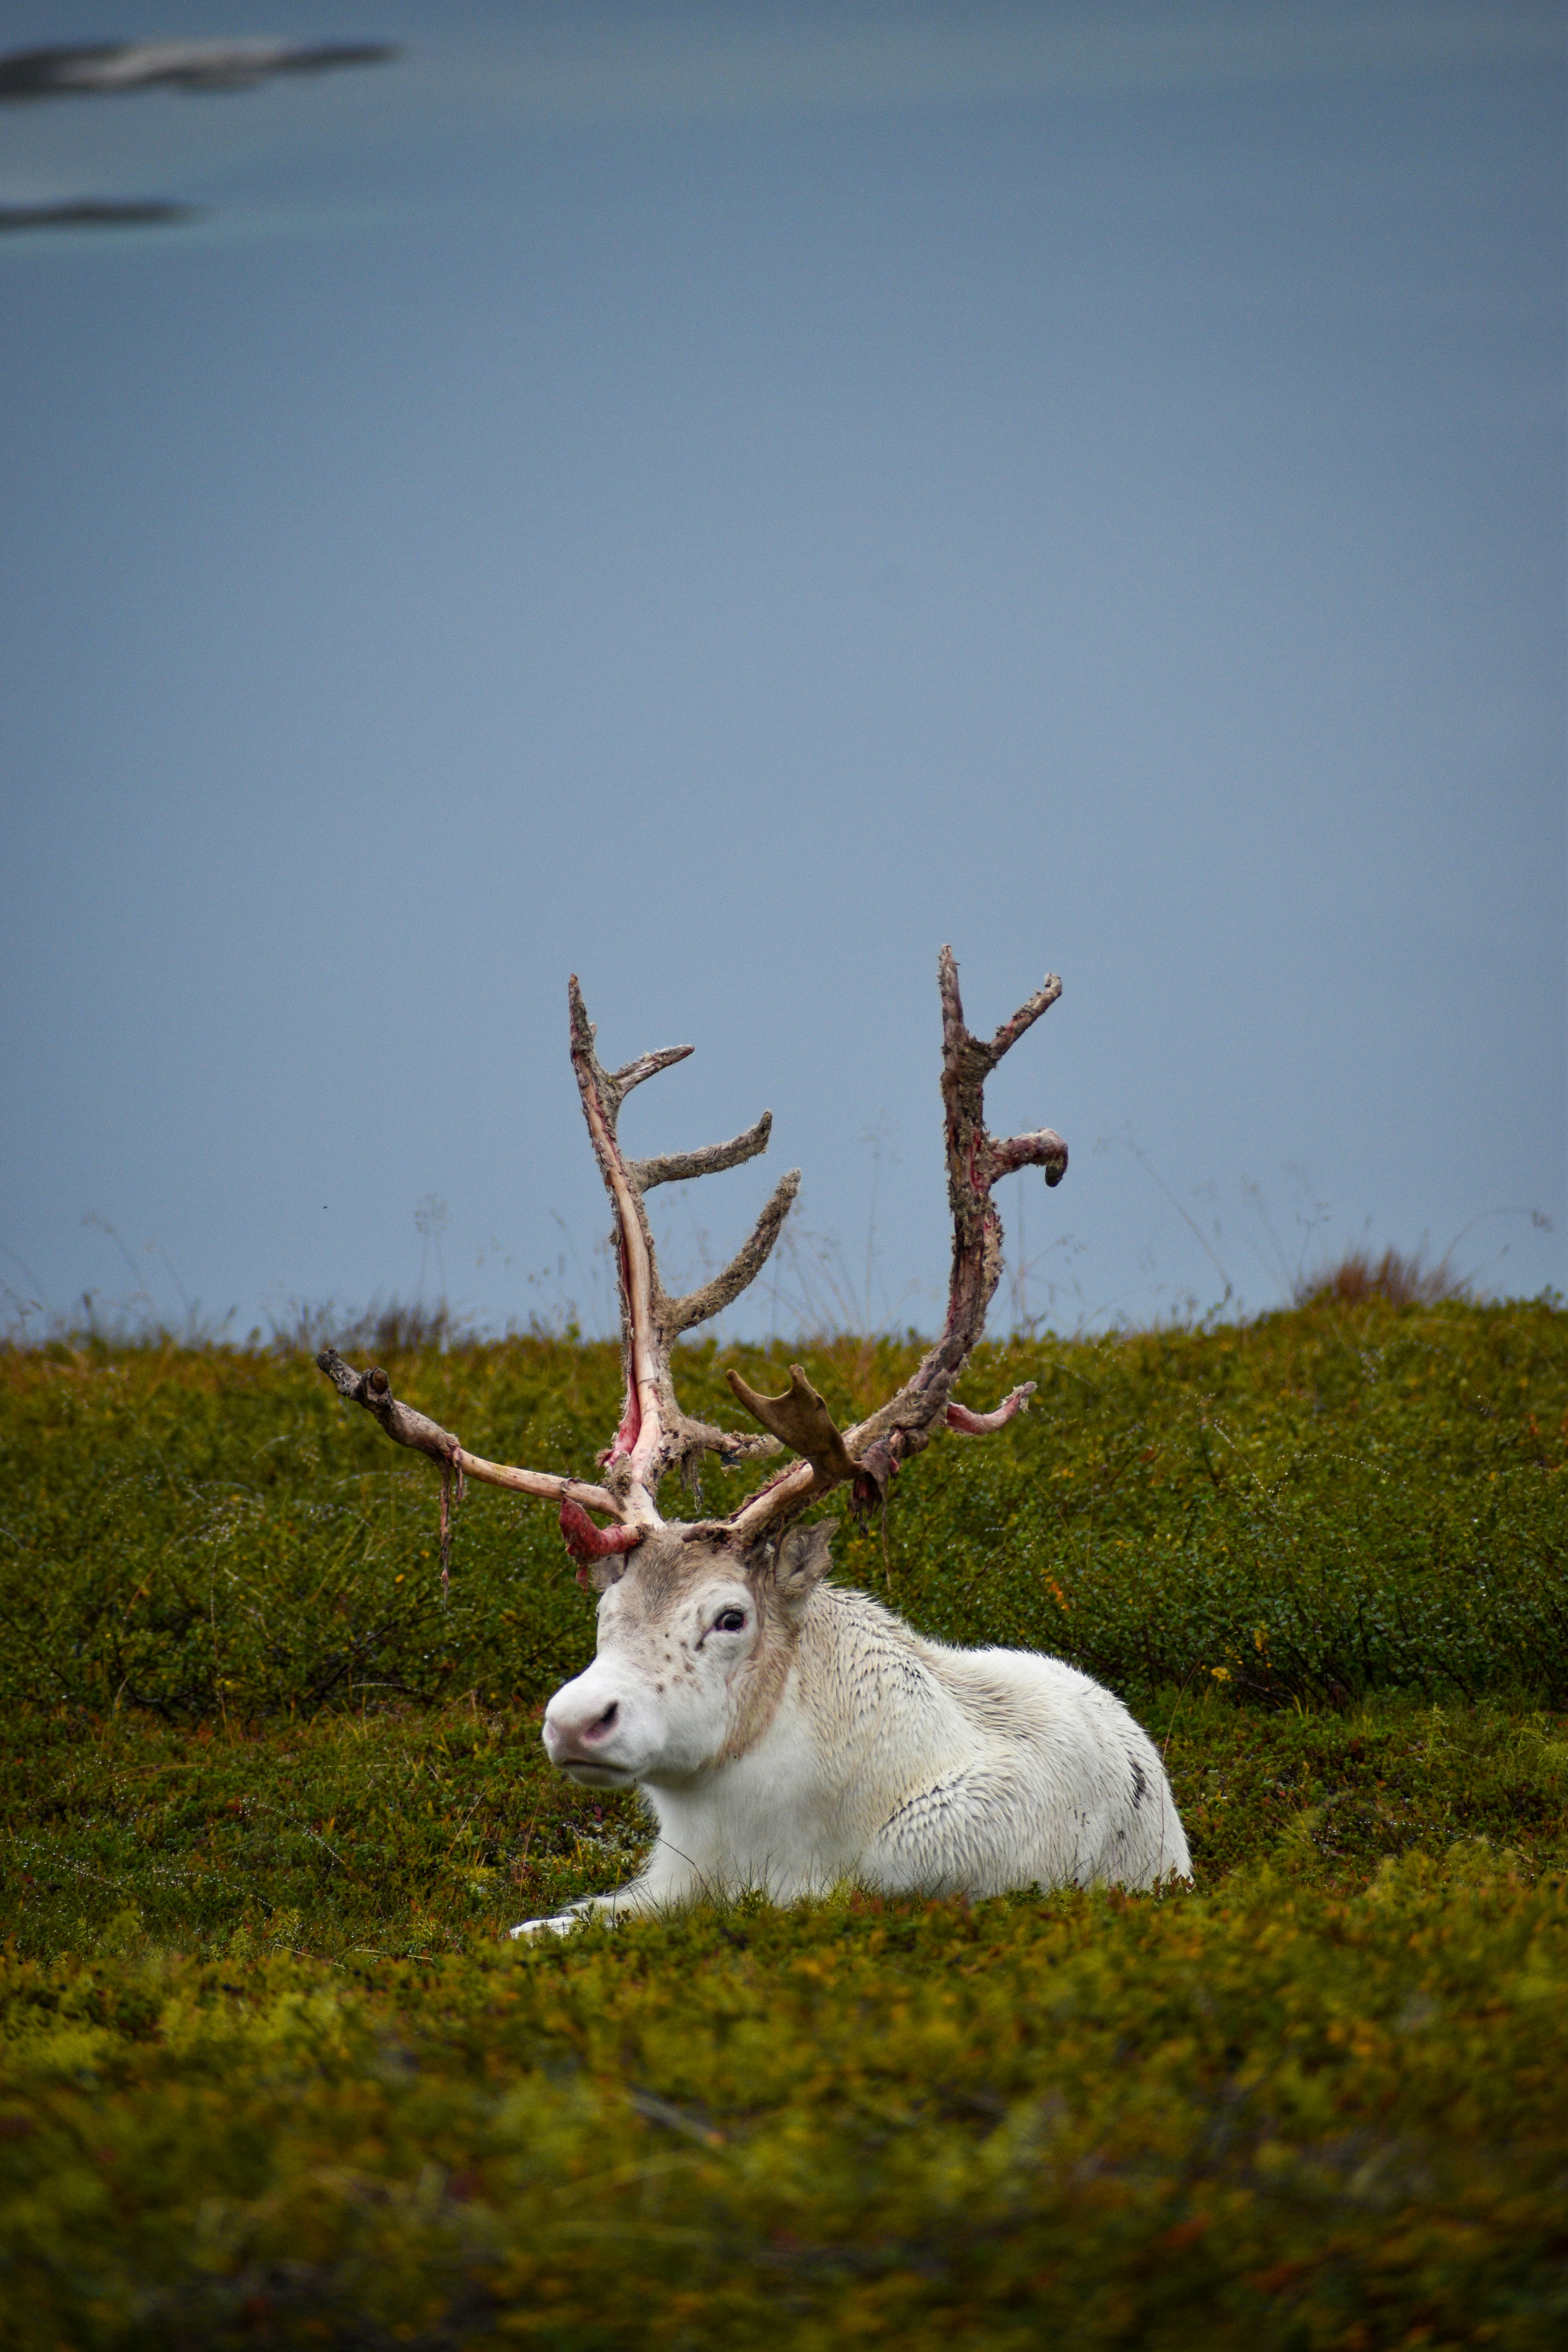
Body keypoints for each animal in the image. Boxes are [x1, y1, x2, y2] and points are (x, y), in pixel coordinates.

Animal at [315, 950, 1190, 1932]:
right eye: (604, 1612)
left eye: (729, 1617)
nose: (576, 1720)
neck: (760, 1858)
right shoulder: (653, 1885)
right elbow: (531, 1929)